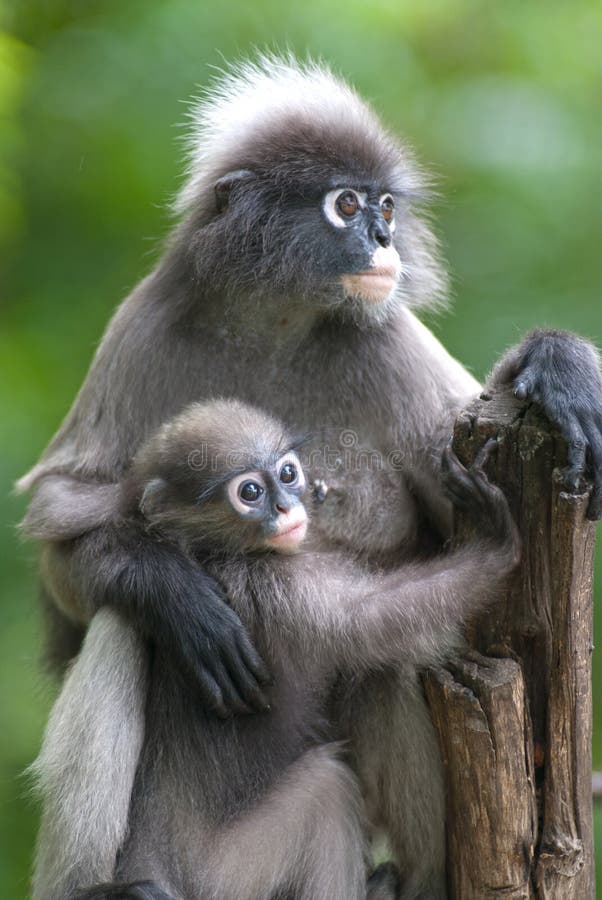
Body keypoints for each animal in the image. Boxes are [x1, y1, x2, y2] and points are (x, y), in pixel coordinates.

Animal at [32, 398, 520, 900]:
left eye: (287, 473)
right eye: (250, 491)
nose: (287, 507)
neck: (214, 550)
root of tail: (151, 859)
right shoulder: (278, 590)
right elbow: (376, 617)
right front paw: (493, 539)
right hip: (225, 875)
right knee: (330, 788)